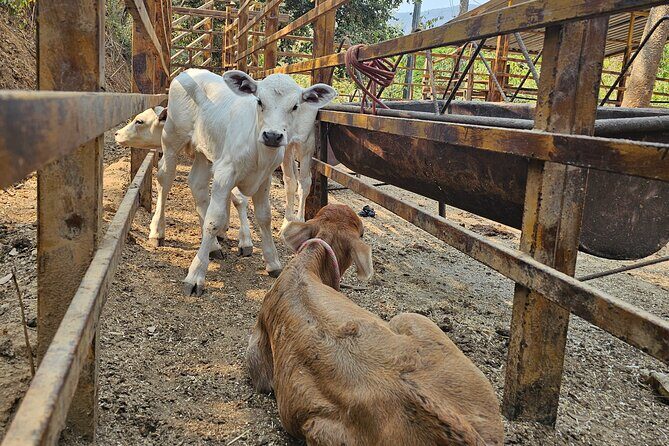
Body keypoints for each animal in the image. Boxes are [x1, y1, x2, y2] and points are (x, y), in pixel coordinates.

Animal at [157, 69, 336, 296]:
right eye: (259, 101)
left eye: (295, 106)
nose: (272, 135)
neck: (259, 152)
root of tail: (188, 72)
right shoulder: (225, 173)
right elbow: (214, 220)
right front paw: (195, 275)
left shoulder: (264, 178)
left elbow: (264, 217)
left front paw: (273, 261)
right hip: (171, 137)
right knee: (164, 177)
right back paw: (157, 231)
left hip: (205, 152)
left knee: (196, 183)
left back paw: (213, 247)